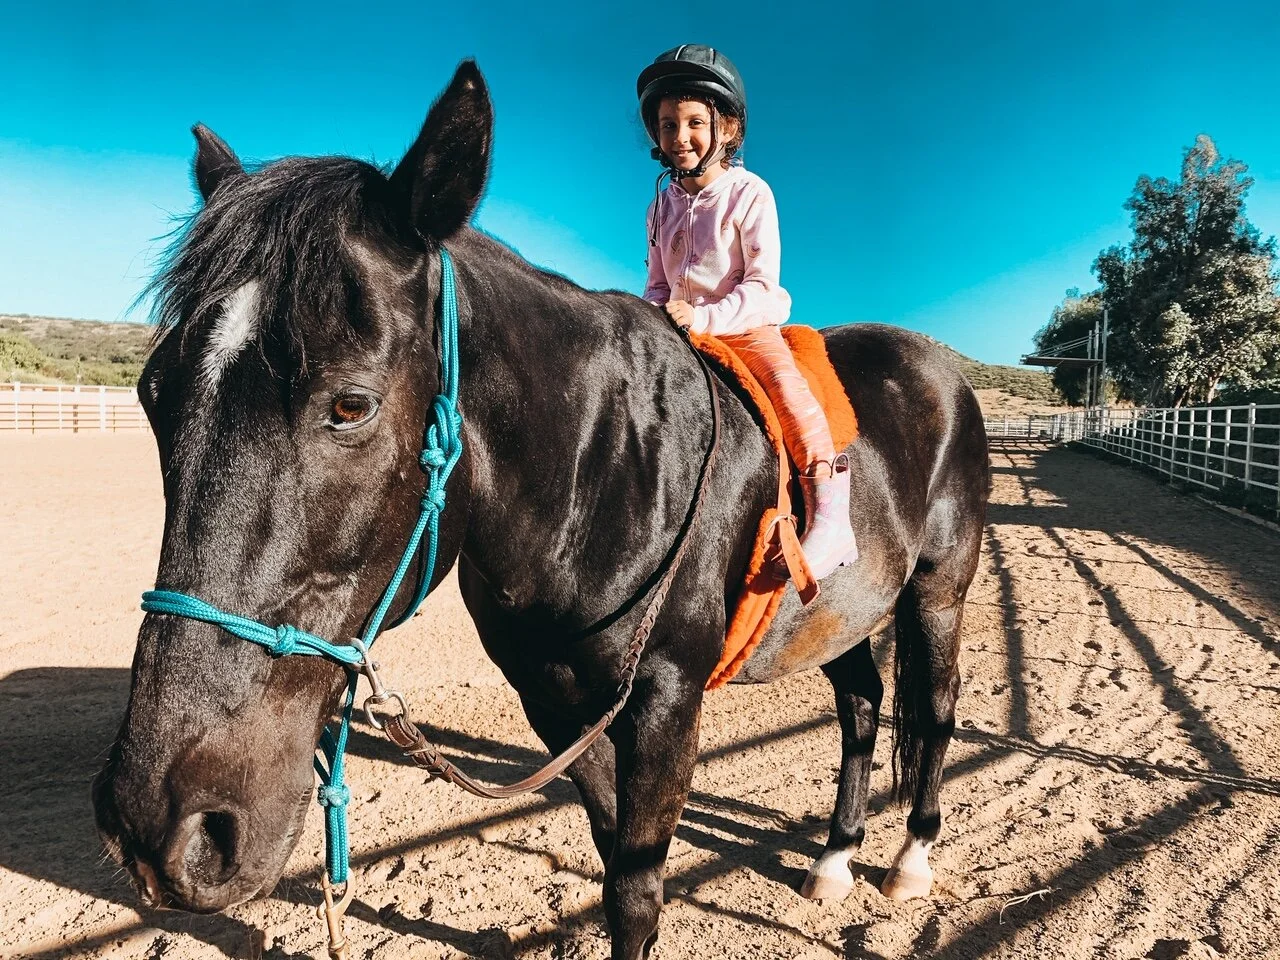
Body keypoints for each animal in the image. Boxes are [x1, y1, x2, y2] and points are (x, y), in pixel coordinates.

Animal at [93, 61, 989, 959]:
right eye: (152, 396)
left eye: (351, 405)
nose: (160, 825)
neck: (603, 473)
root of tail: (941, 371)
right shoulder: (553, 702)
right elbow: (611, 847)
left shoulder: (667, 701)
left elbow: (636, 887)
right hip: (840, 612)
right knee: (862, 705)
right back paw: (835, 859)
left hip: (938, 594)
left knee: (935, 712)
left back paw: (909, 860)